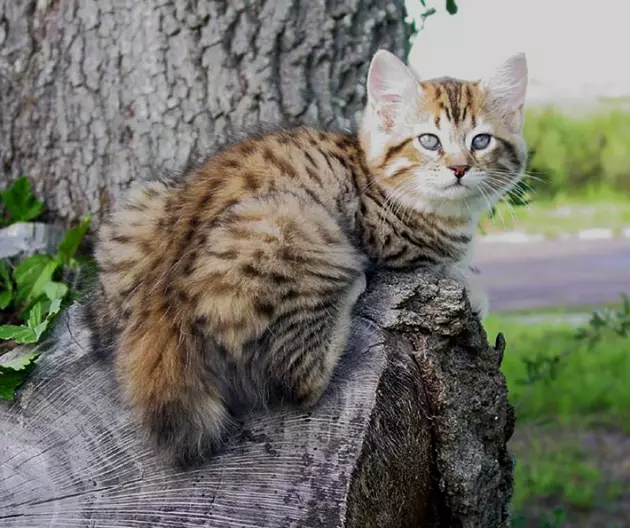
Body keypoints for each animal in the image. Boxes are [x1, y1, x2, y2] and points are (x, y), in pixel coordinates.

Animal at [84, 48, 528, 462]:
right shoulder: (397, 247)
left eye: (480, 141)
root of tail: (159, 308)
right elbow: (446, 264)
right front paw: (473, 286)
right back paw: (351, 295)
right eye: (429, 141)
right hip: (302, 221)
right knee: (299, 384)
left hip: (139, 205)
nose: (459, 168)